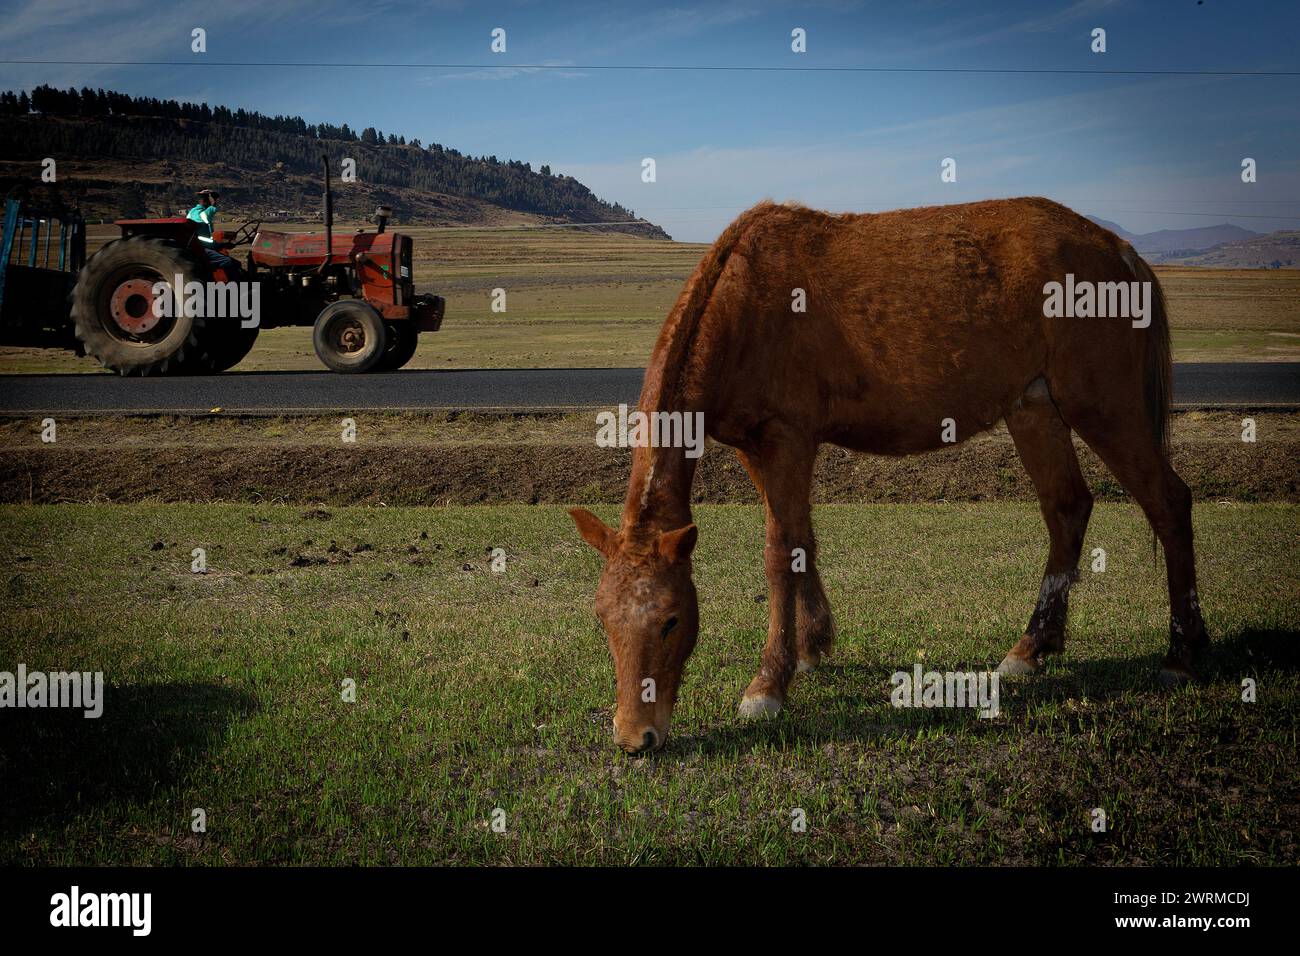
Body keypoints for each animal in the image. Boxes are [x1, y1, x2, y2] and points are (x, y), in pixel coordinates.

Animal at [570, 197, 1207, 754]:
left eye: (671, 621)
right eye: (603, 620)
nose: (635, 737)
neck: (744, 300)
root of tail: (1118, 249)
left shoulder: (787, 441)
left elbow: (779, 552)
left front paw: (768, 685)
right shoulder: (758, 450)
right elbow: (801, 540)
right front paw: (811, 647)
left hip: (1105, 408)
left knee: (1168, 502)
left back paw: (1183, 651)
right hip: (1035, 408)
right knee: (1067, 509)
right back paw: (1031, 647)